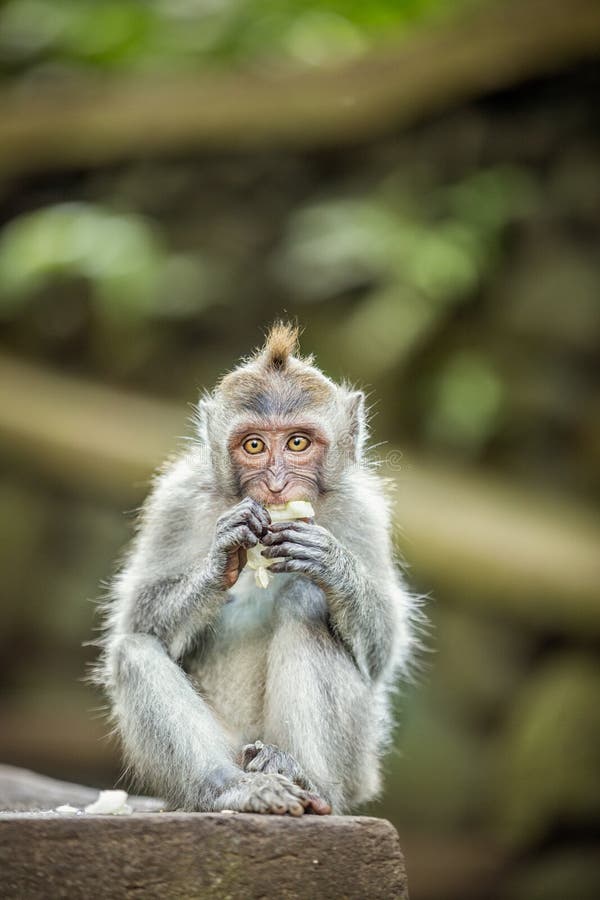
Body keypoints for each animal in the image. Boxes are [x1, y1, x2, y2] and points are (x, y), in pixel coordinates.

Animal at [96, 323, 415, 815]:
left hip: (358, 769)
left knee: (306, 601)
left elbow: (382, 653)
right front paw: (222, 554)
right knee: (133, 652)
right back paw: (231, 788)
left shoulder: (364, 510)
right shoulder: (177, 498)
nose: (277, 485)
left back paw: (306, 778)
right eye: (254, 445)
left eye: (297, 442)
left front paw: (333, 563)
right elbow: (139, 621)